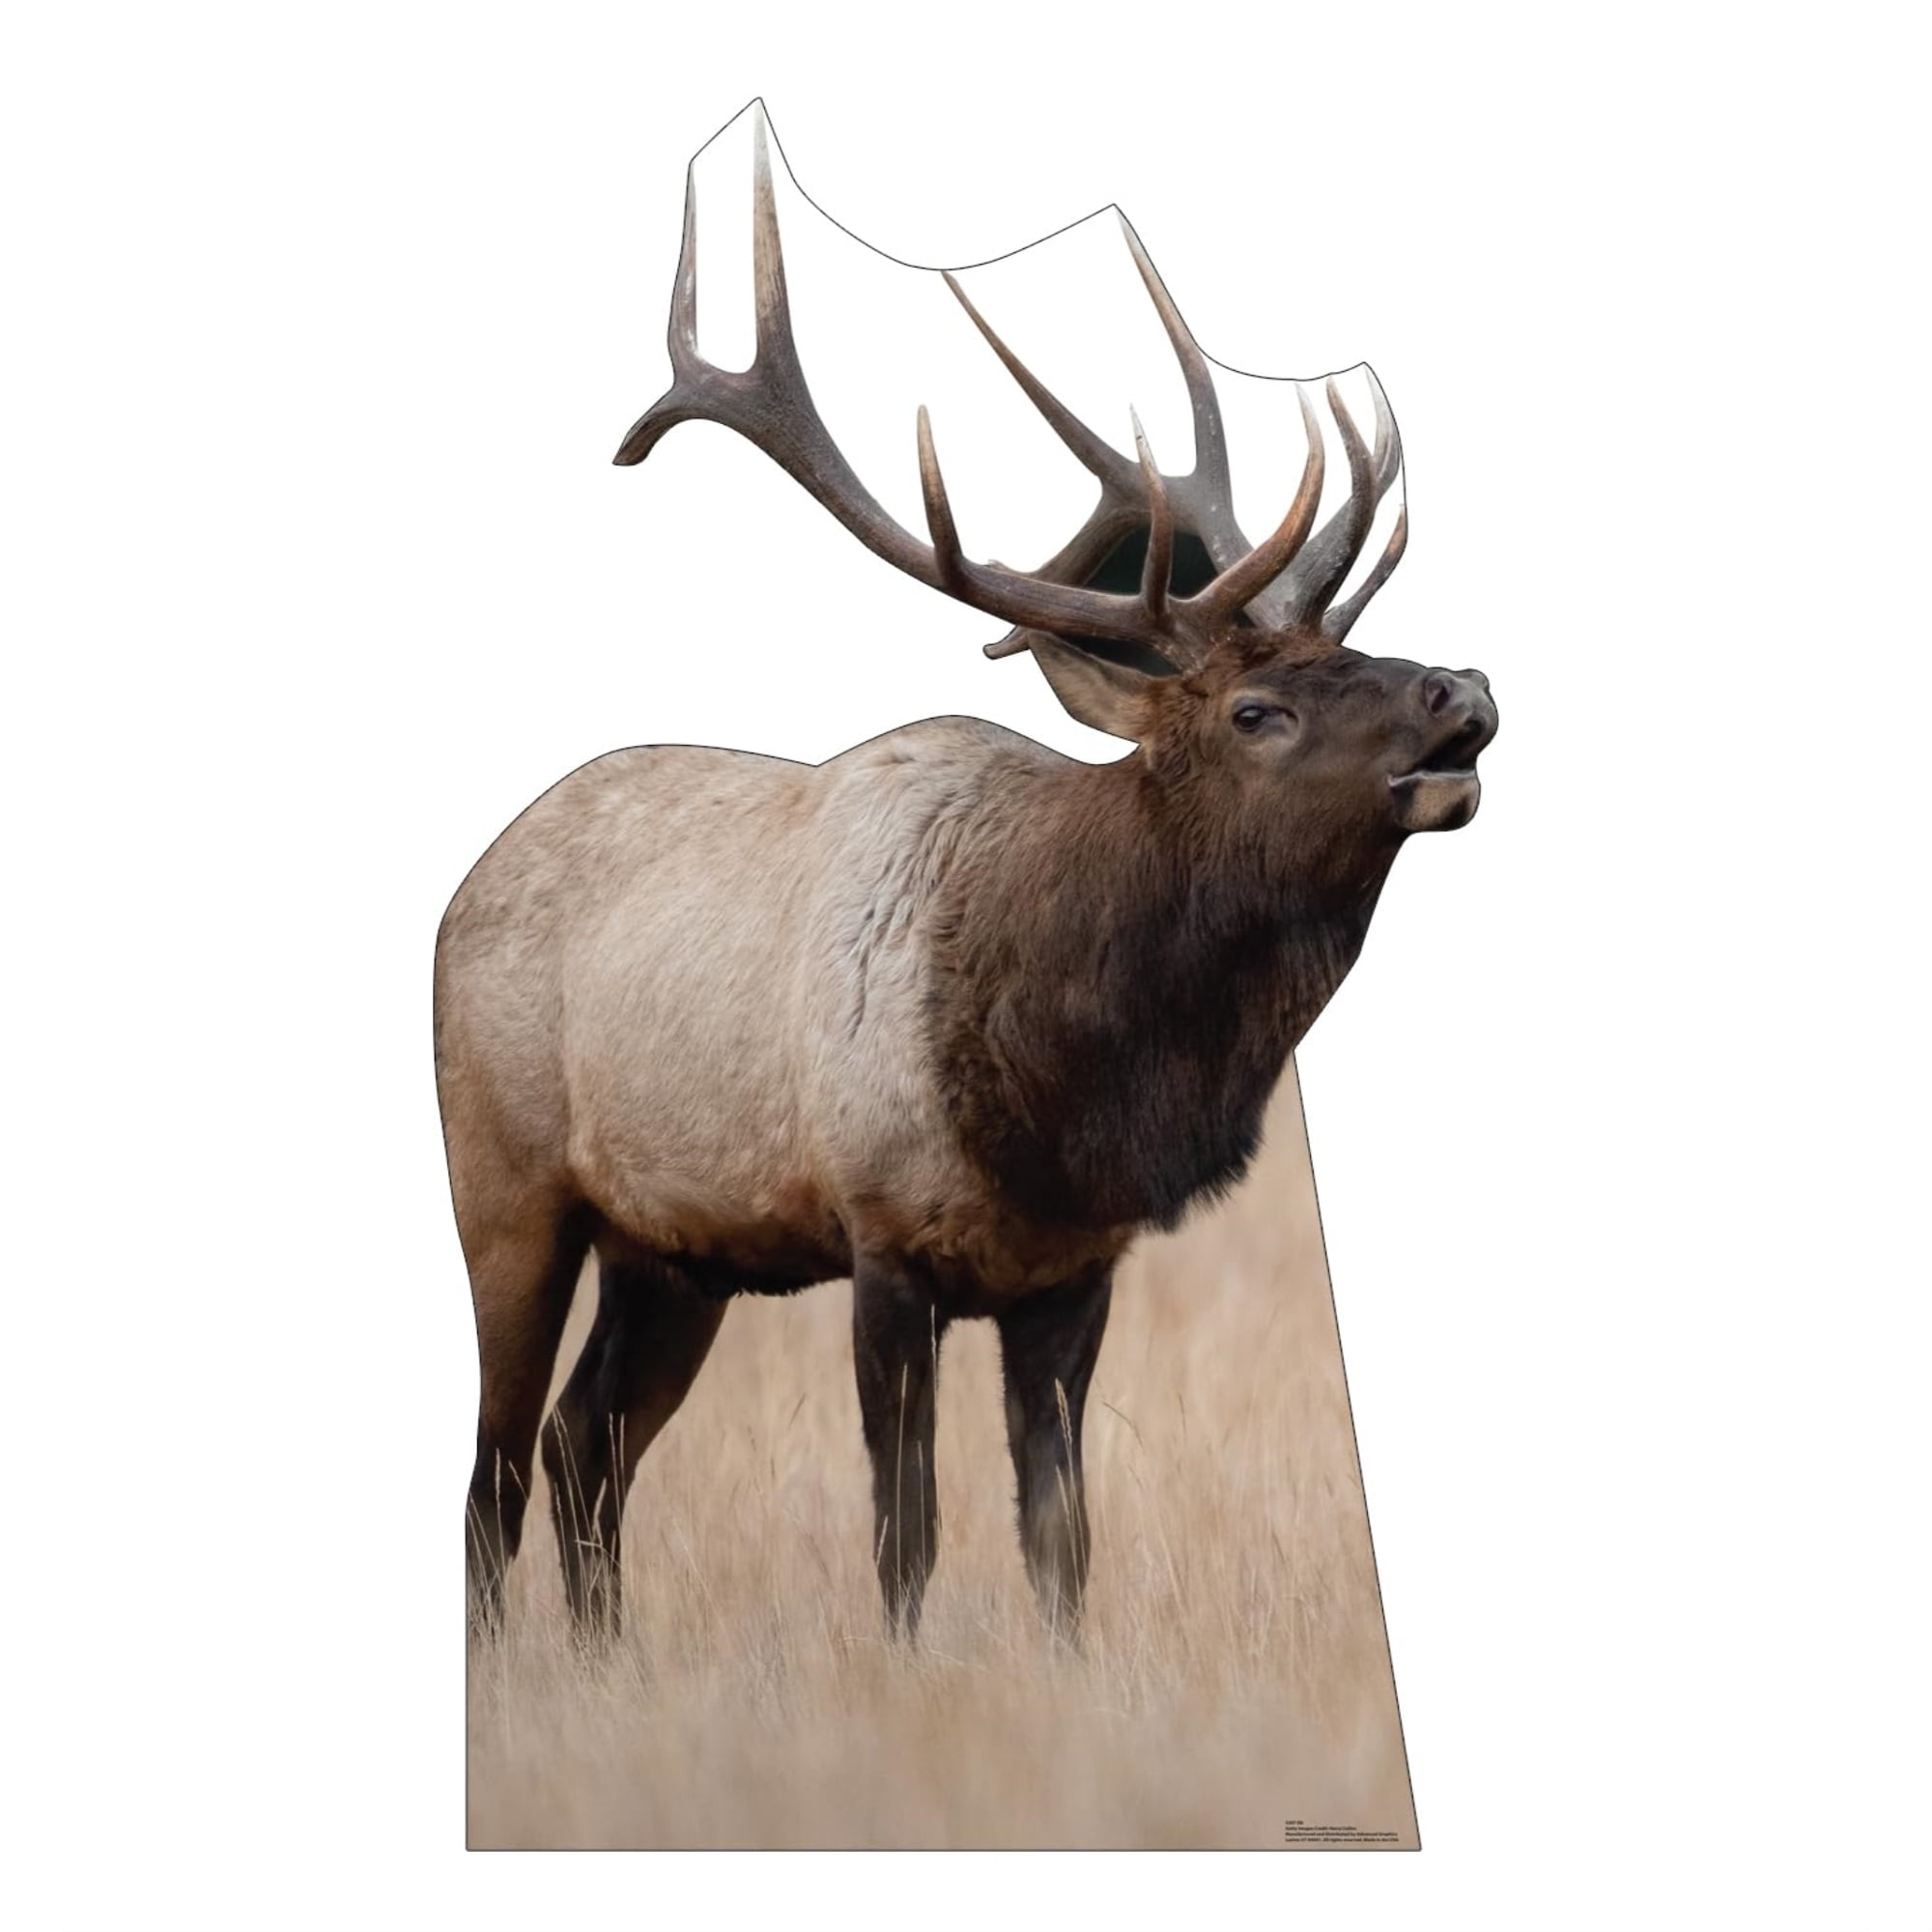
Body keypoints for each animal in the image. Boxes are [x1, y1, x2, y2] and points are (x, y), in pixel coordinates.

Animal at [438, 117, 1498, 1646]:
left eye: (1361, 654)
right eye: (1256, 711)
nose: (1460, 688)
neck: (1070, 1086)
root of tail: (463, 881)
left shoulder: (1072, 1269)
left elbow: (1060, 1538)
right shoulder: (885, 1237)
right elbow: (909, 1532)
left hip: (675, 1247)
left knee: (588, 1445)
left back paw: (601, 1663)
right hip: (509, 1189)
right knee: (498, 1470)